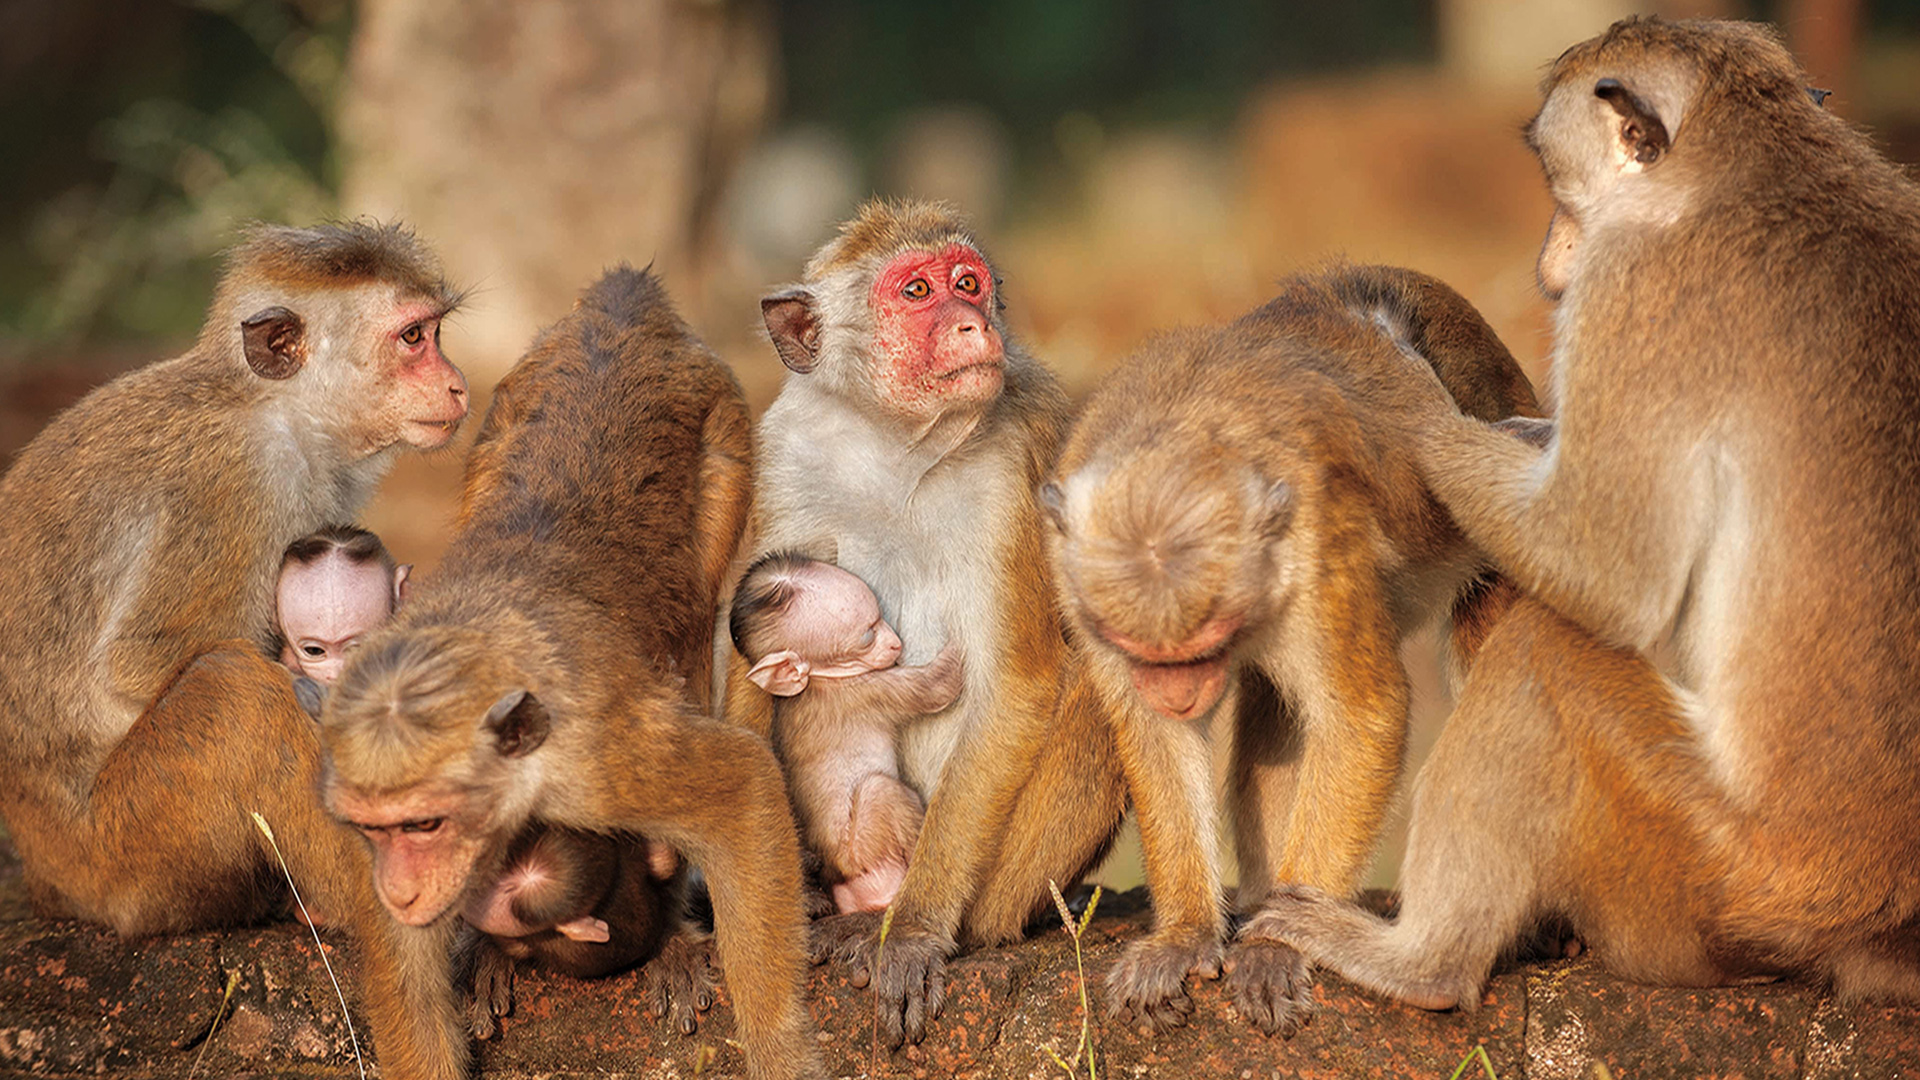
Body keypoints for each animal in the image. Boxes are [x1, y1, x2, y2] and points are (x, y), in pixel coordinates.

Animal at [319, 266, 827, 1080]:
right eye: (380, 830)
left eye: (426, 824)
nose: (398, 887)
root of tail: (620, 312)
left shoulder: (600, 760)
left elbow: (743, 787)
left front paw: (781, 1049)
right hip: (503, 408)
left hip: (722, 423)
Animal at [730, 551, 965, 914]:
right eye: (868, 636)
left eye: (881, 616)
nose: (896, 643)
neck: (818, 680)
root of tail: (841, 874)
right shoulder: (868, 692)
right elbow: (938, 687)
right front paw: (956, 646)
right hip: (863, 847)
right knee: (881, 789)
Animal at [1040, 264, 1542, 1036]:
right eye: (1141, 652)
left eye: (1201, 647)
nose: (1178, 691)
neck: (1188, 425)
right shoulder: (1074, 576)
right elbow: (1155, 731)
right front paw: (1186, 932)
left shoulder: (1317, 544)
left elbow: (1364, 715)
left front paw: (1283, 940)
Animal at [1261, 17, 1920, 1014]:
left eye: (1556, 183)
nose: (1549, 267)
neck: (1769, 165)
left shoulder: (1635, 288)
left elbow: (1606, 575)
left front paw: (1410, 401)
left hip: (1716, 871)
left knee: (1542, 652)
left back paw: (1425, 966)